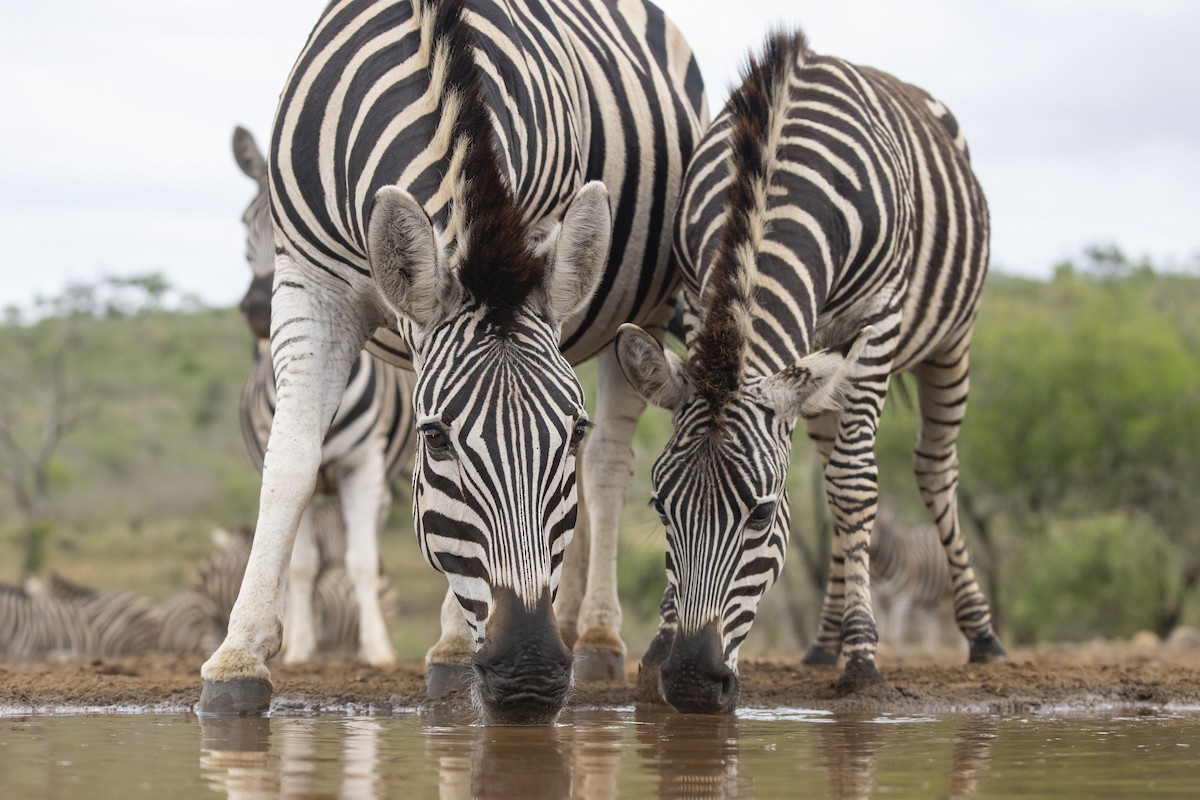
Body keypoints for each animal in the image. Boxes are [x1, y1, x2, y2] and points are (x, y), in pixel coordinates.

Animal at [232, 126, 417, 666]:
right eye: (244, 223)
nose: (256, 308)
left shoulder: (363, 465)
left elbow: (360, 561)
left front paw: (376, 650)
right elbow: (299, 565)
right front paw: (298, 647)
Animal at [616, 28, 1004, 711]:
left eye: (763, 514)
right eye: (661, 507)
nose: (691, 679)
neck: (772, 169)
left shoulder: (877, 316)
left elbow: (856, 486)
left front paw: (864, 658)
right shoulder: (695, 301)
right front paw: (659, 643)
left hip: (950, 341)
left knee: (931, 471)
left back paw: (979, 634)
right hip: (818, 376)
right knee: (830, 472)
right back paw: (823, 642)